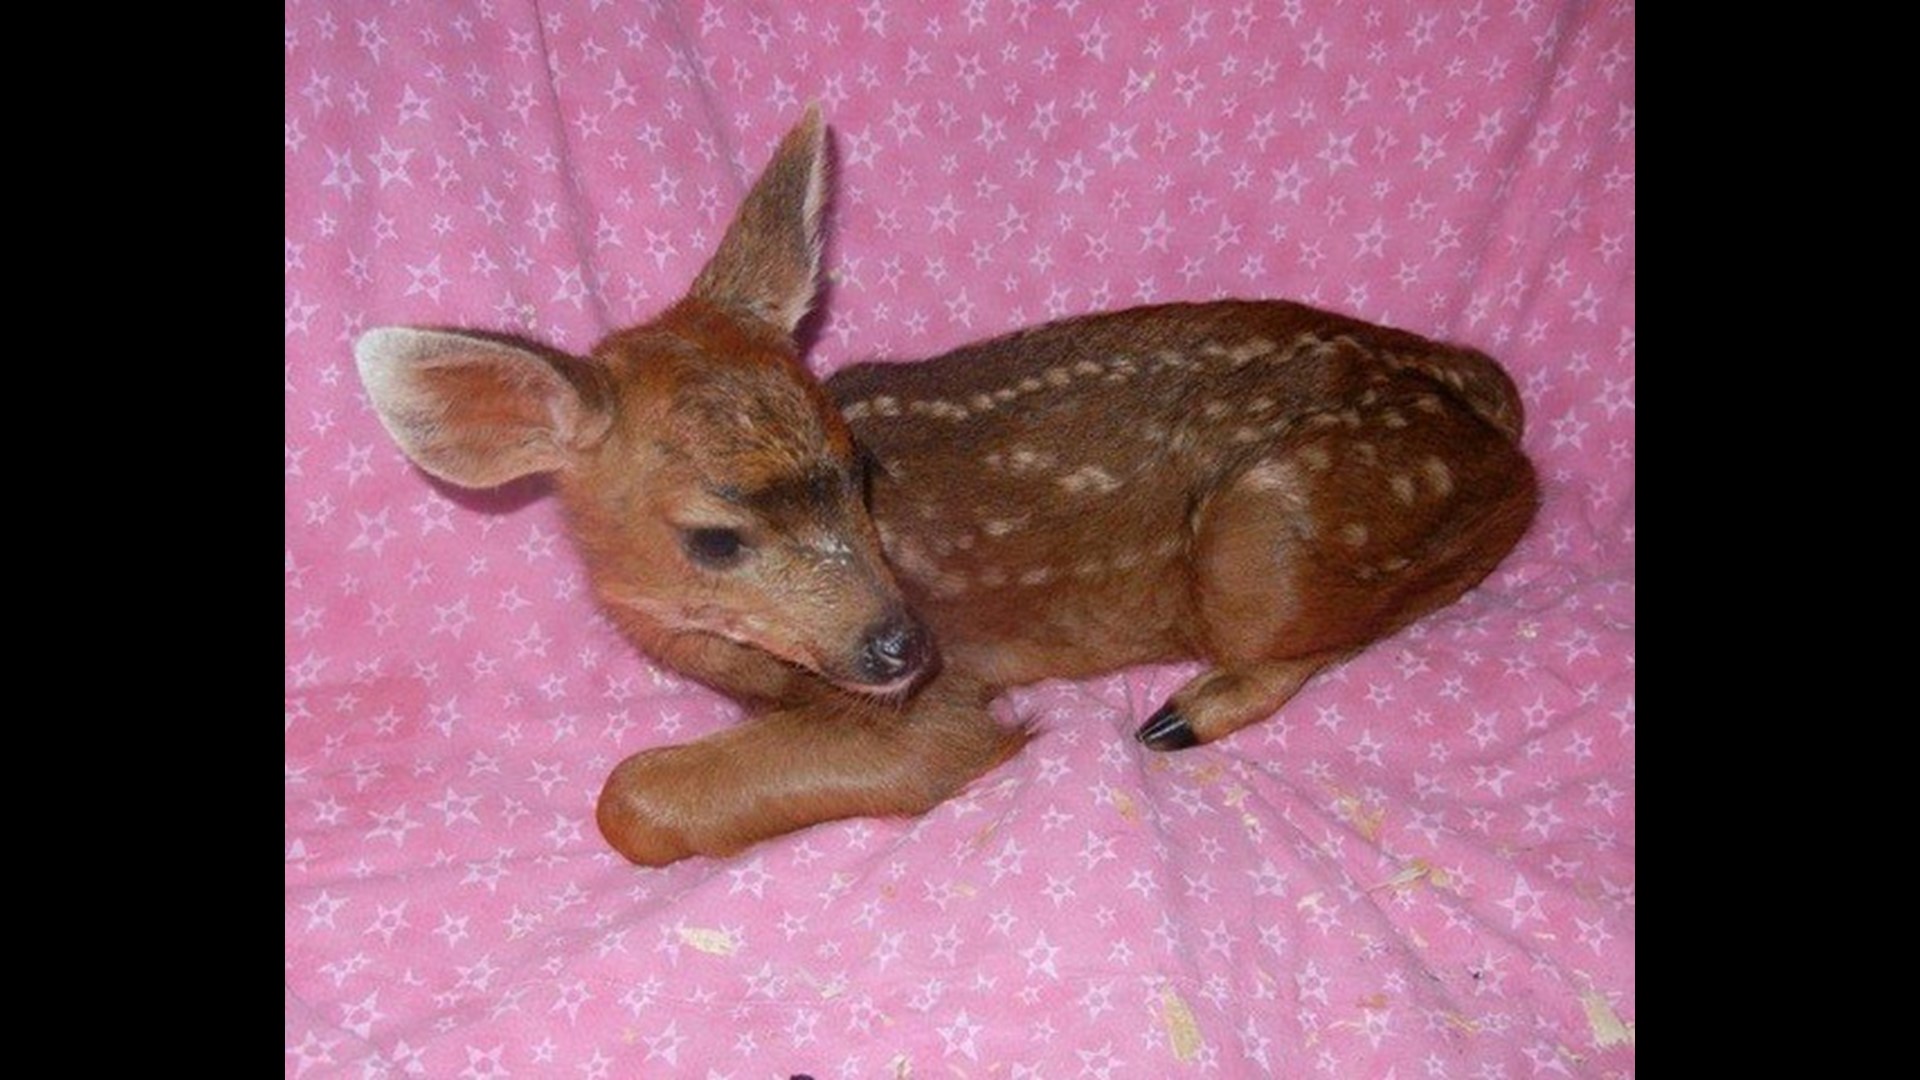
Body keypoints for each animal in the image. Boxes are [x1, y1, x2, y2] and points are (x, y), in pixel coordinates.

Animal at [355, 108, 1537, 866]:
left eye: (859, 469)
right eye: (715, 538)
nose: (899, 644)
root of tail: (1478, 398)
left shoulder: (944, 710)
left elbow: (627, 799)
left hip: (1271, 528)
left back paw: (1181, 715)